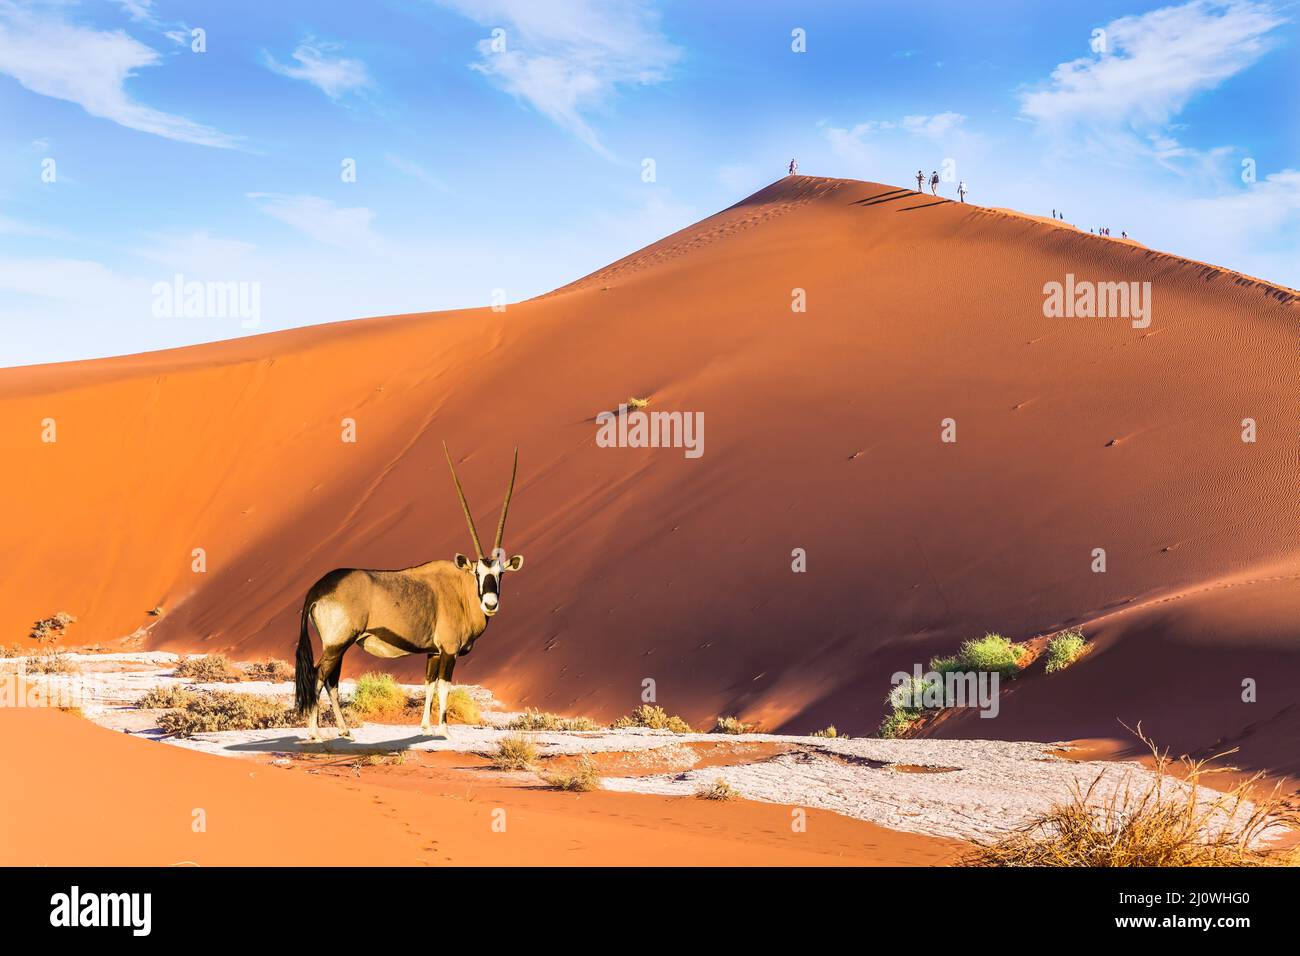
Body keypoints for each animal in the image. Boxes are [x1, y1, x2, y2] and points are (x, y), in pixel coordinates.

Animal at [293, 444, 523, 741]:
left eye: (500, 573)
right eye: (477, 574)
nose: (491, 604)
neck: (461, 592)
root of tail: (318, 588)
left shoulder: (433, 653)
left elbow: (429, 685)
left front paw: (425, 727)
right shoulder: (448, 651)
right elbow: (444, 686)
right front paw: (444, 730)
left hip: (339, 647)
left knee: (331, 681)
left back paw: (345, 731)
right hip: (336, 644)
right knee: (319, 676)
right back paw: (315, 733)